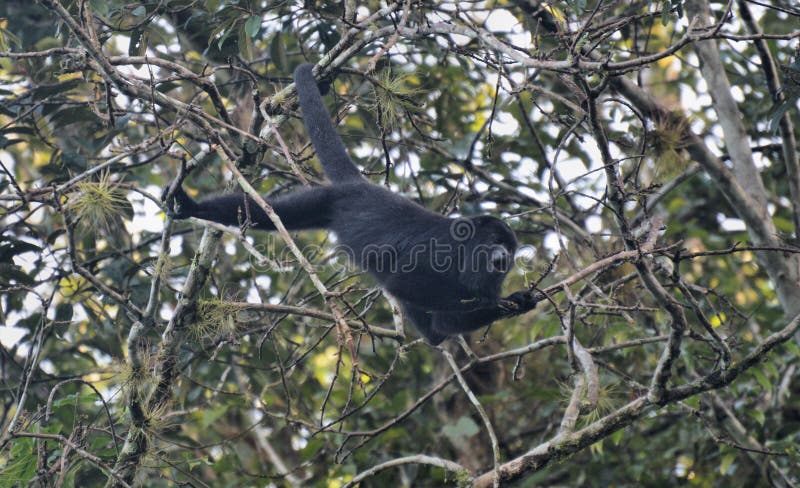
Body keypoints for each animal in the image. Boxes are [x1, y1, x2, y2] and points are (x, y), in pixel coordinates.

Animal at [168, 63, 537, 345]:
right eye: (493, 242)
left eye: (509, 248)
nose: (503, 258)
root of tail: (360, 185)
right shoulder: (438, 253)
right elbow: (404, 282)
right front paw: (499, 304)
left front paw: (515, 302)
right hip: (326, 199)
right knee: (270, 213)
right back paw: (194, 208)